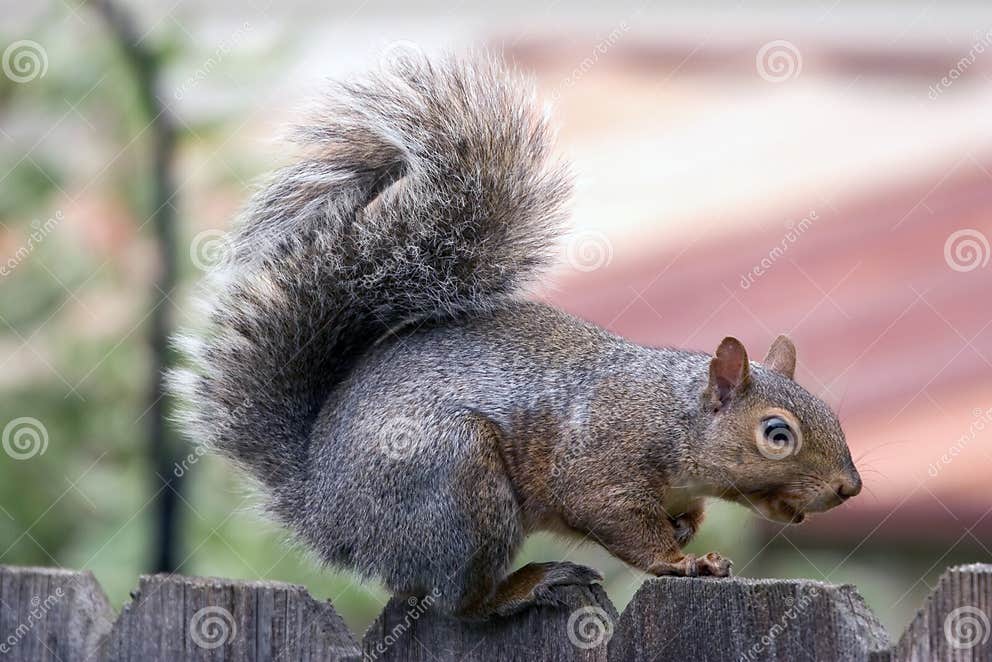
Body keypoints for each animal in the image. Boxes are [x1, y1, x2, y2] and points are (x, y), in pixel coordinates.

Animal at [169, 53, 862, 619]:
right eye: (777, 435)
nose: (848, 488)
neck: (670, 415)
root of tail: (319, 505)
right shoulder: (600, 465)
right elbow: (619, 523)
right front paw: (681, 559)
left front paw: (690, 528)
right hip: (458, 484)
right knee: (460, 603)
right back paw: (526, 586)